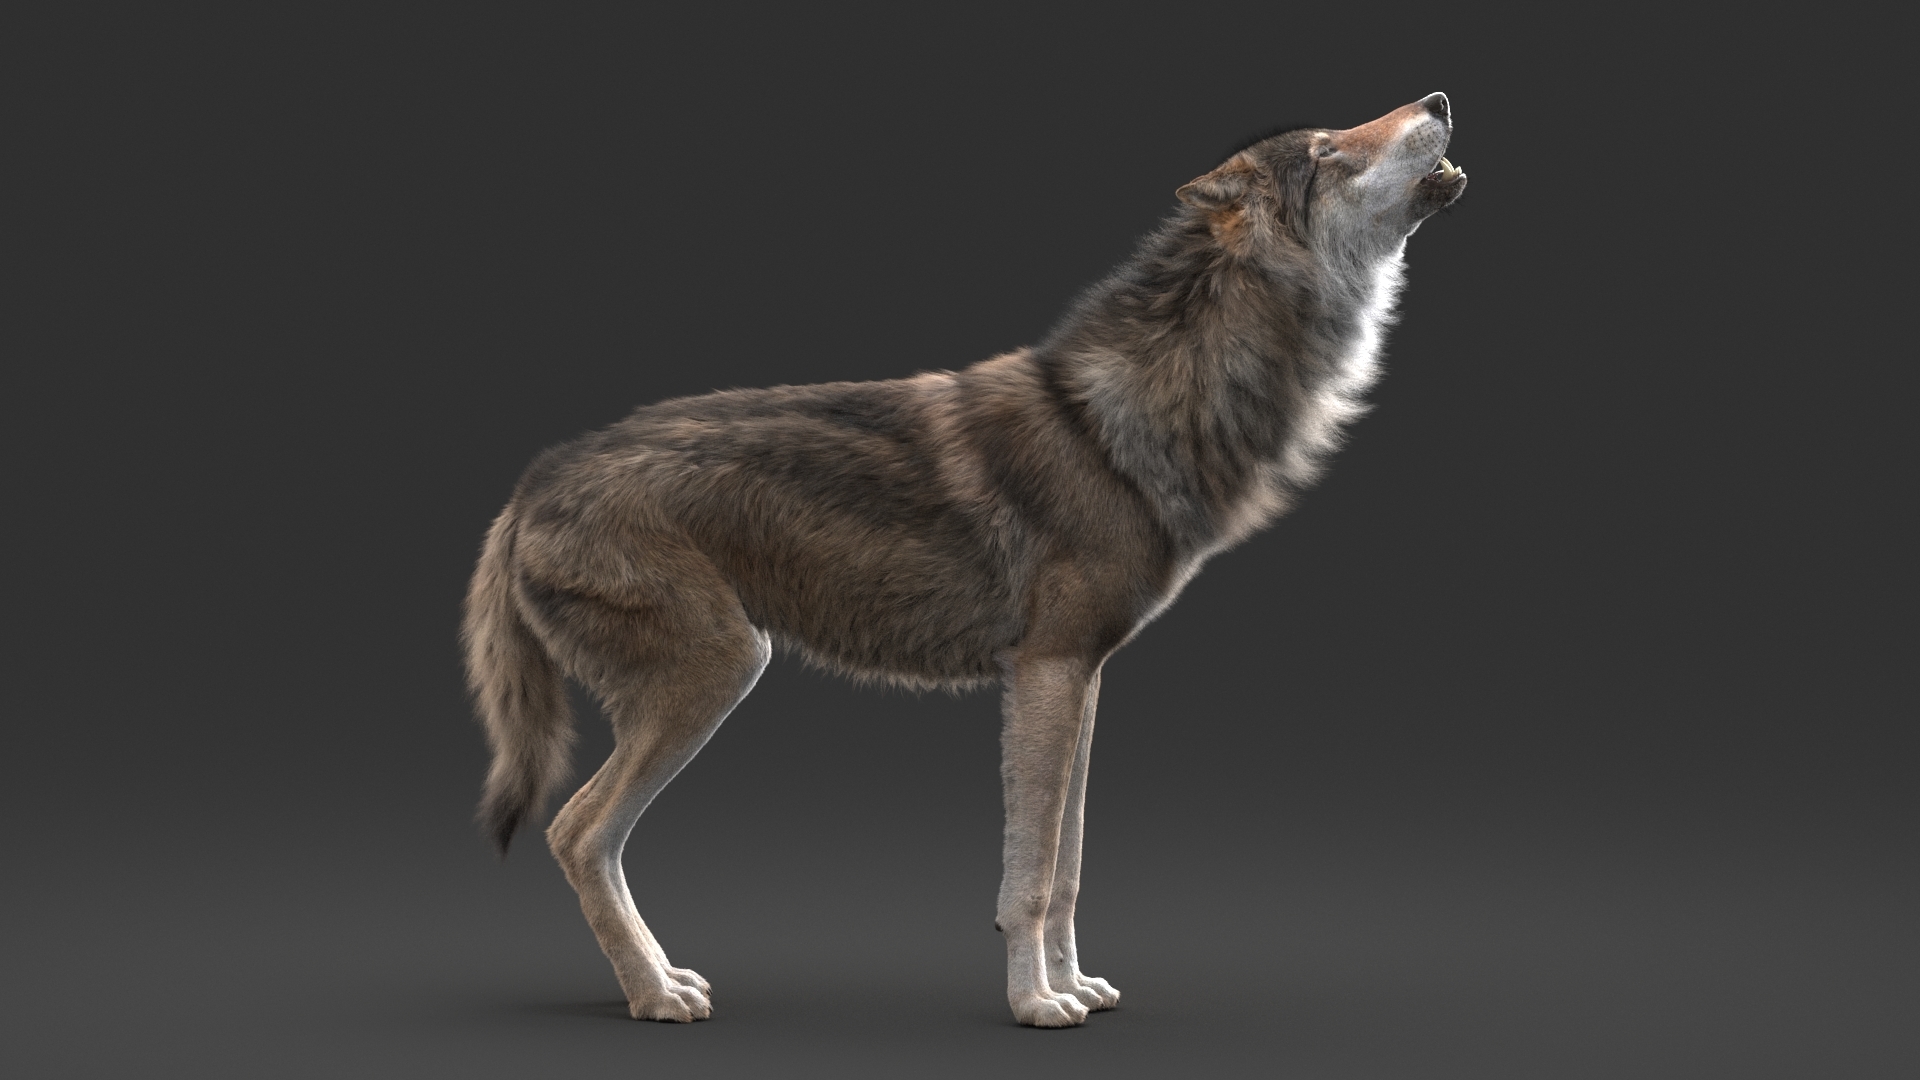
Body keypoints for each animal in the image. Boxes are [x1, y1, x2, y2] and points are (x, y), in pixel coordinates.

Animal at [463, 93, 1466, 1027]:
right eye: (1329, 151)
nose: (1439, 102)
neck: (1129, 417)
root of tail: (526, 489)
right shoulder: (1047, 671)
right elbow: (1031, 876)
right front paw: (1035, 1004)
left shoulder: (1081, 676)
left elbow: (1067, 867)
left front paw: (1074, 985)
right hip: (719, 673)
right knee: (577, 832)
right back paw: (653, 996)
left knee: (588, 837)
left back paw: (666, 978)